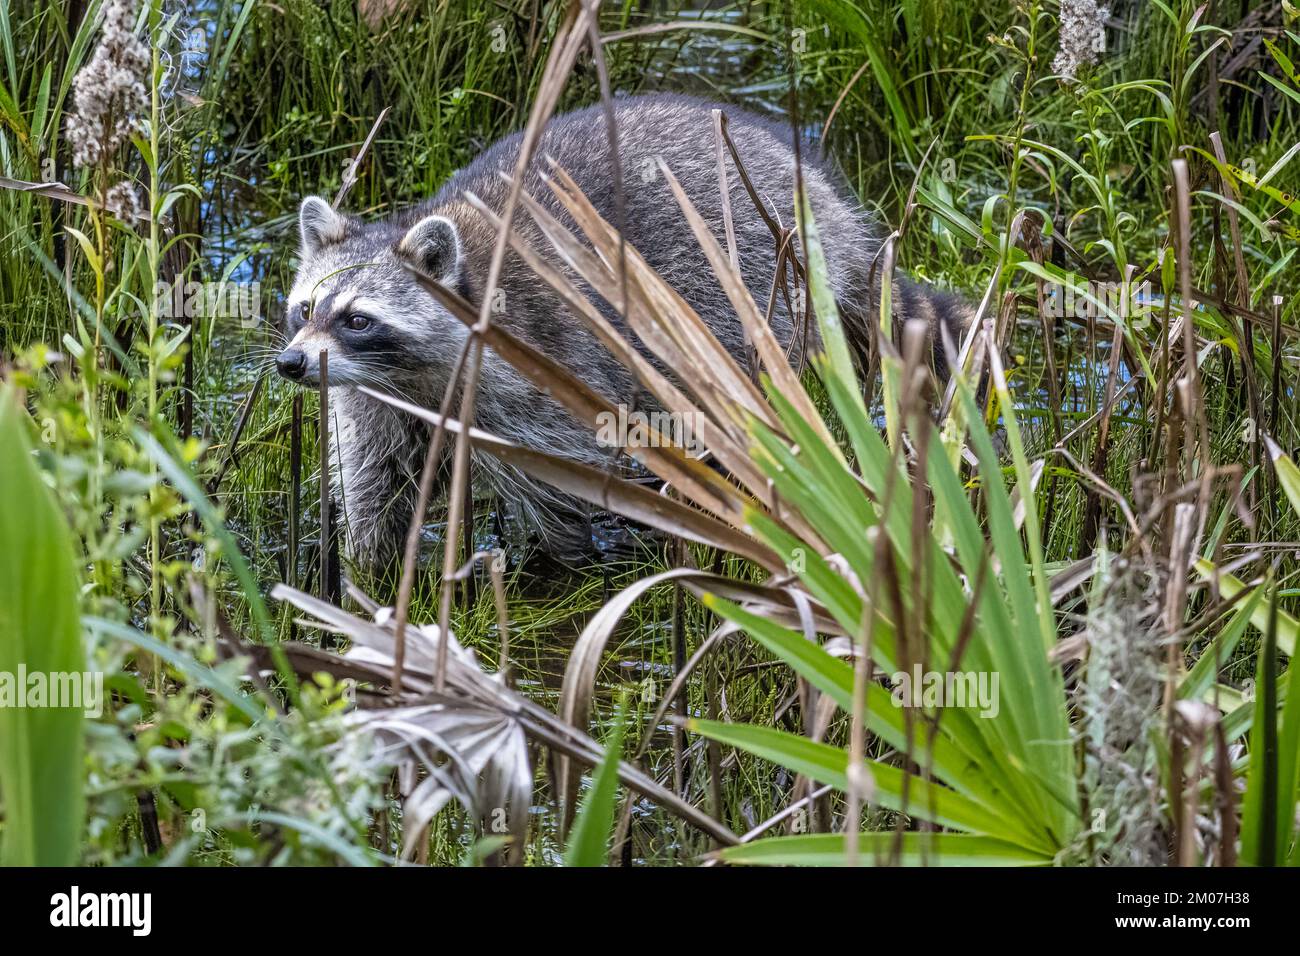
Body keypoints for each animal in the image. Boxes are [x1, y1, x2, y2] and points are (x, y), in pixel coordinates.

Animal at [276, 94, 969, 568]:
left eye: (357, 318)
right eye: (305, 310)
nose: (291, 364)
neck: (409, 375)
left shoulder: (540, 369)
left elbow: (556, 477)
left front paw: (560, 560)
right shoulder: (373, 399)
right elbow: (376, 480)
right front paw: (368, 569)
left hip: (758, 274)